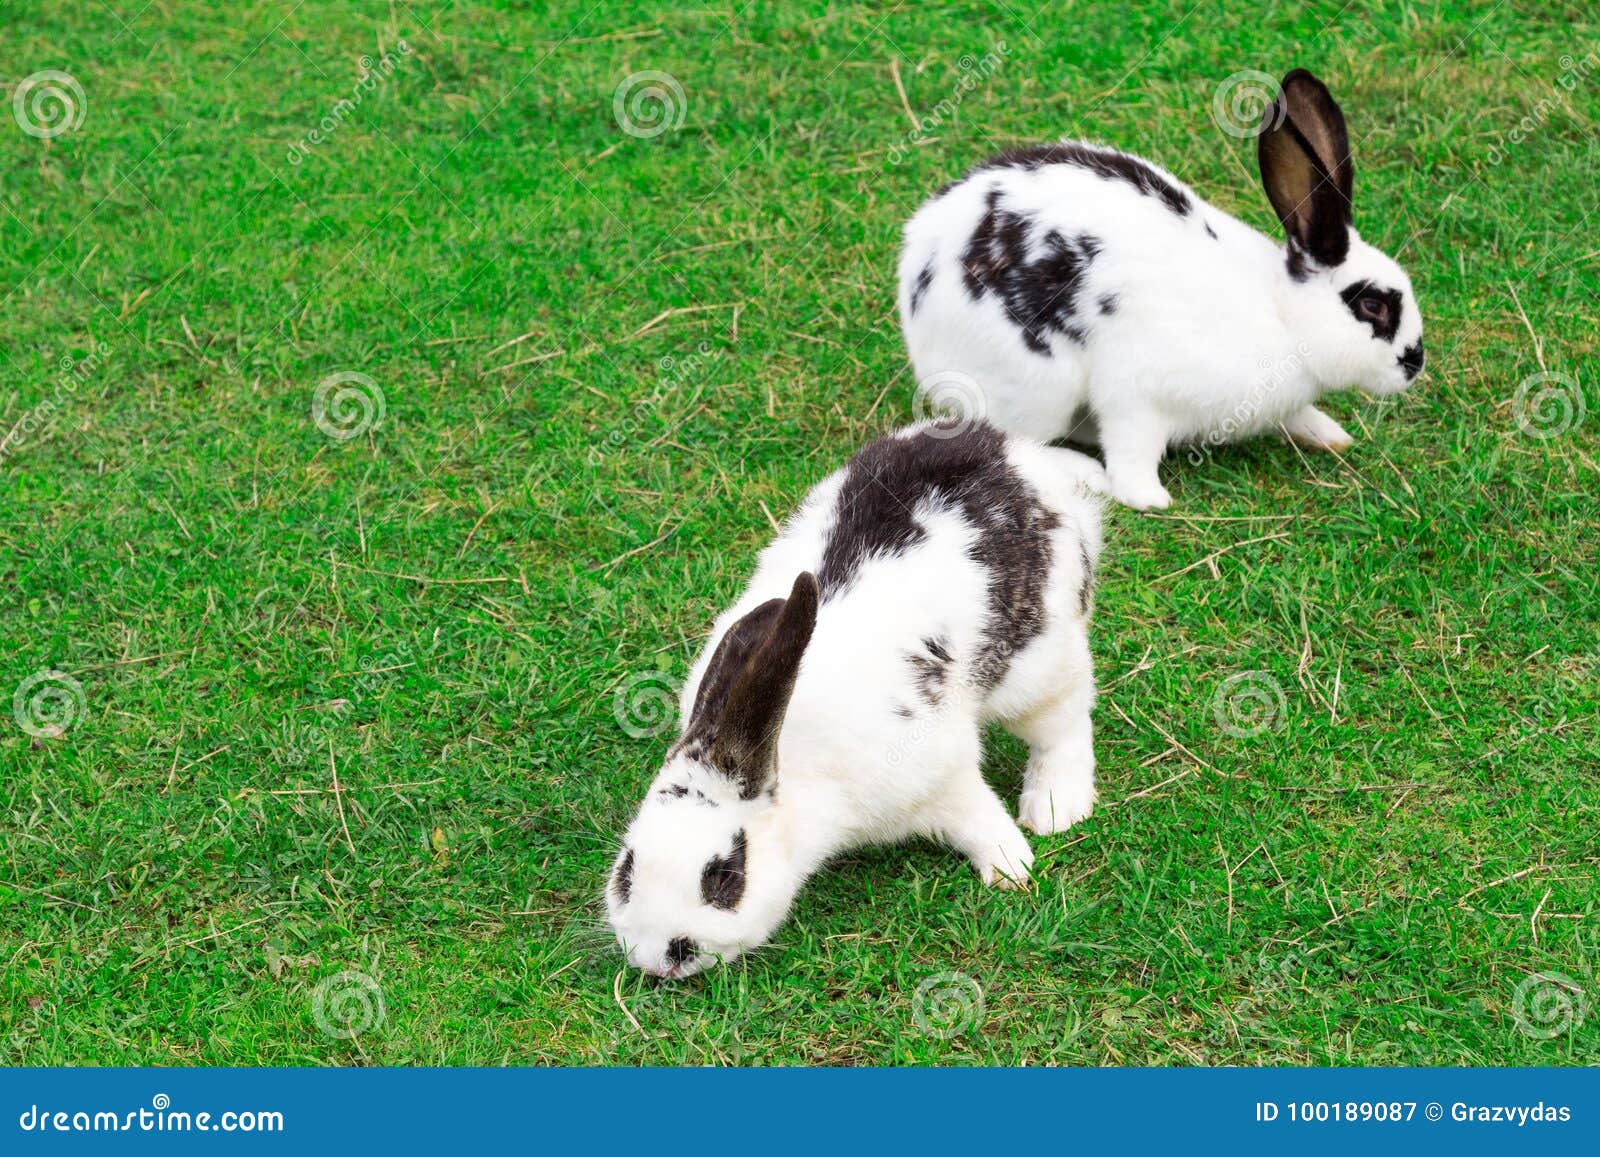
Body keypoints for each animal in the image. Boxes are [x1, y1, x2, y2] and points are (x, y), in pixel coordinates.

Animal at [605, 419, 1105, 978]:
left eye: (725, 877)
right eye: (627, 868)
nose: (657, 958)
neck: (793, 770)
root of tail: (1017, 456)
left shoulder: (940, 774)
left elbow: (977, 816)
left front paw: (1011, 868)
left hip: (1037, 669)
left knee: (1065, 720)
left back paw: (1054, 808)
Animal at [897, 68, 1425, 510]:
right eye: (1372, 305)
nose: (1415, 363)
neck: (1284, 318)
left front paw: (1331, 434)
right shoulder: (1136, 395)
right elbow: (1133, 449)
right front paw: (1148, 499)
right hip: (1038, 387)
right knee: (1018, 436)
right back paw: (1087, 471)